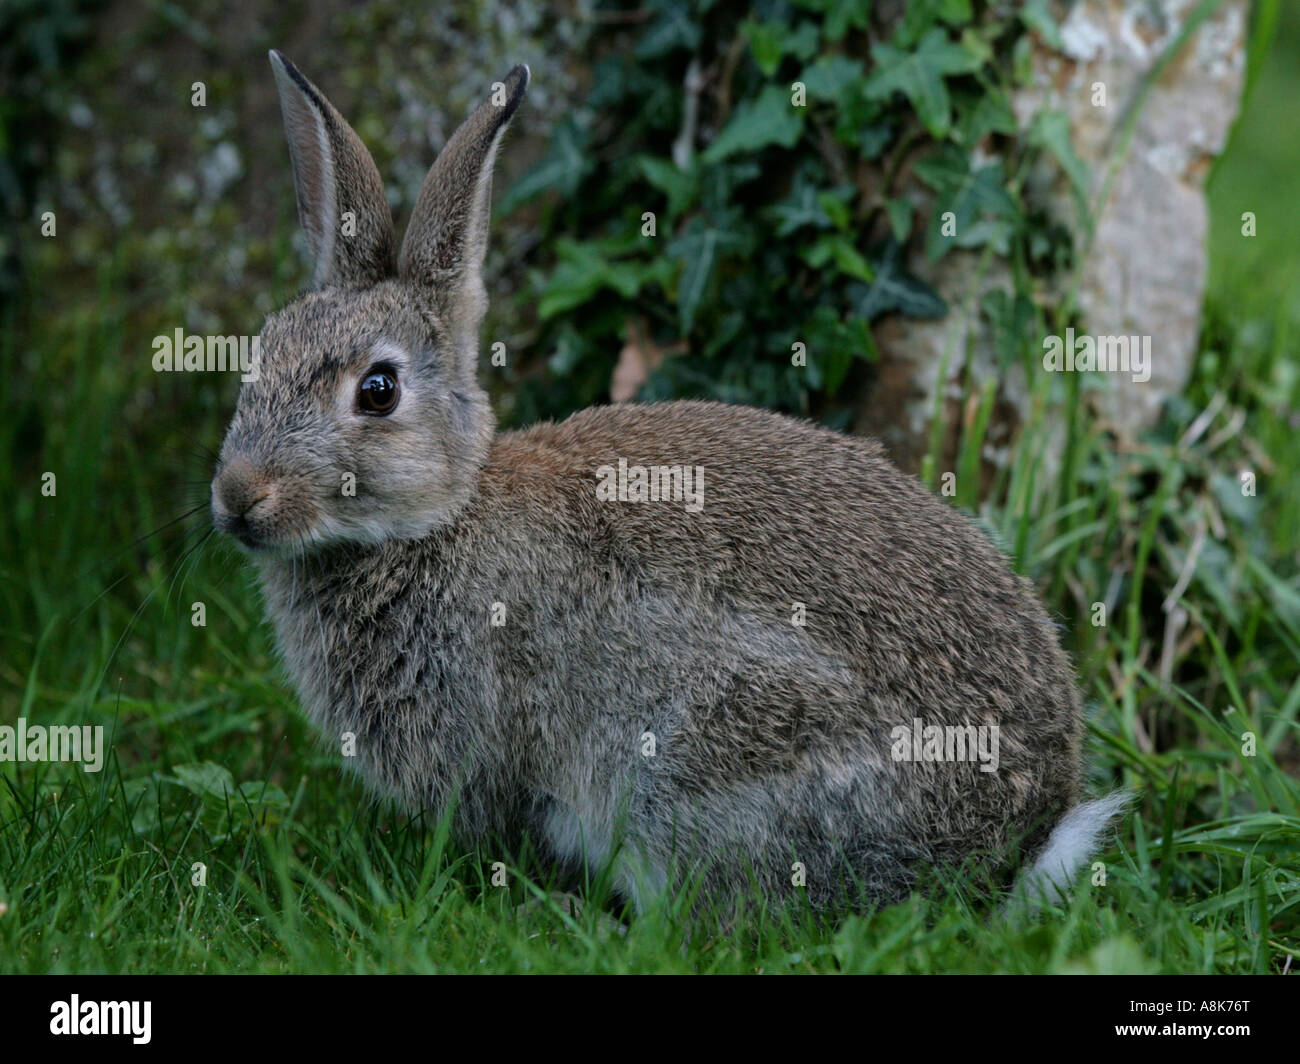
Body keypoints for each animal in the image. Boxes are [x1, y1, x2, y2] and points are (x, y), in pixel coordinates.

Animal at [211, 51, 1127, 914]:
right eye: (259, 355)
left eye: (377, 391)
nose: (238, 498)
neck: (438, 518)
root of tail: (1014, 842)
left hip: (701, 758)